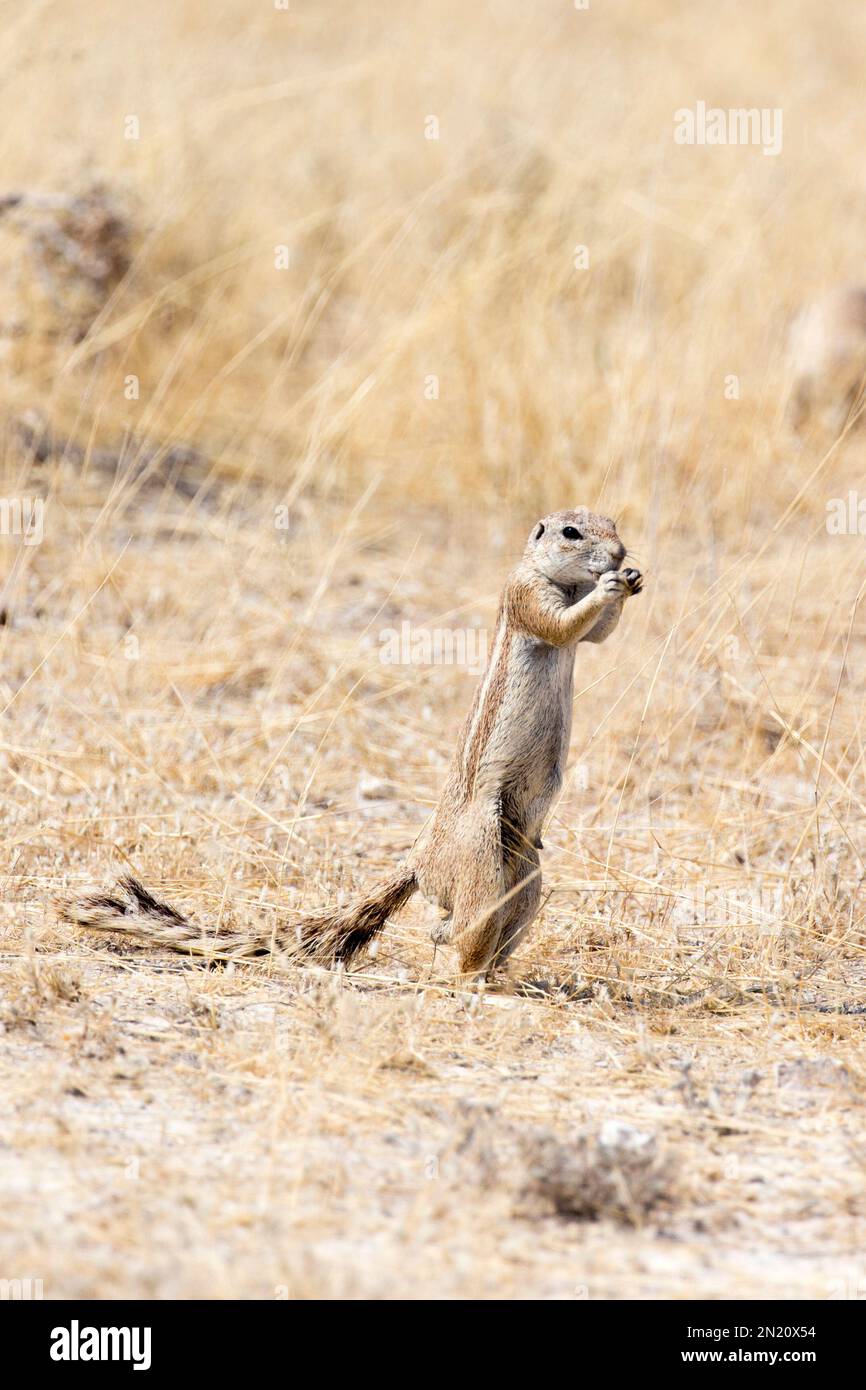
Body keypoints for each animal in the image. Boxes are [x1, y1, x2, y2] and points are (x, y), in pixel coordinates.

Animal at [63, 508, 642, 980]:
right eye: (571, 533)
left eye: (614, 524)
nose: (619, 553)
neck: (562, 580)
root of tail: (418, 857)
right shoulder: (525, 594)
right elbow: (563, 625)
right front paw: (612, 586)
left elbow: (596, 635)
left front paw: (632, 580)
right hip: (480, 848)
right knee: (466, 925)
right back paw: (467, 977)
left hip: (523, 867)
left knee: (497, 916)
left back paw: (501, 978)